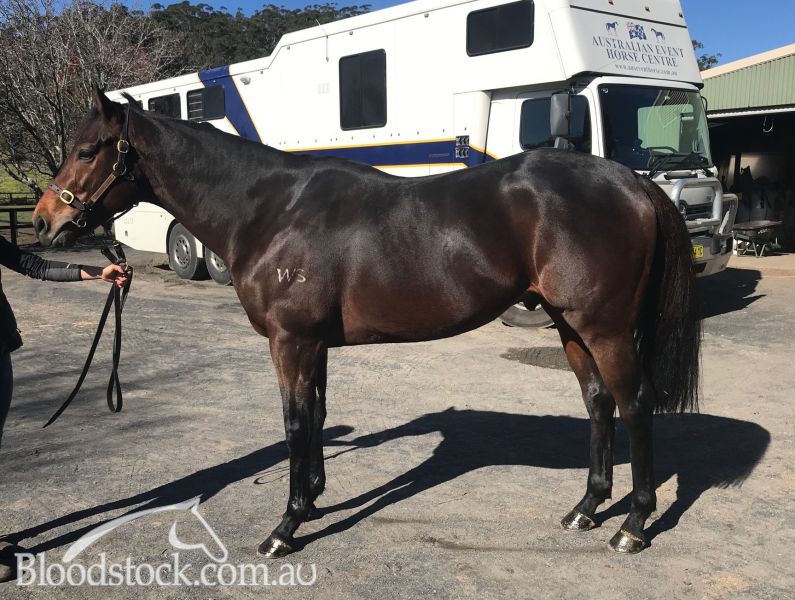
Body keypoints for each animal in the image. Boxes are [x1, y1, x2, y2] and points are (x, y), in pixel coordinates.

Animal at [33, 89, 700, 557]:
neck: (270, 211)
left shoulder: (291, 341)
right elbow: (317, 415)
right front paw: (313, 501)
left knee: (634, 405)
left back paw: (633, 525)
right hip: (570, 325)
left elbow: (294, 422)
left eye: (88, 150)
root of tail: (631, 181)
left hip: (604, 328)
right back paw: (586, 508)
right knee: (598, 403)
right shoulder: (314, 343)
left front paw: (285, 526)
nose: (43, 221)